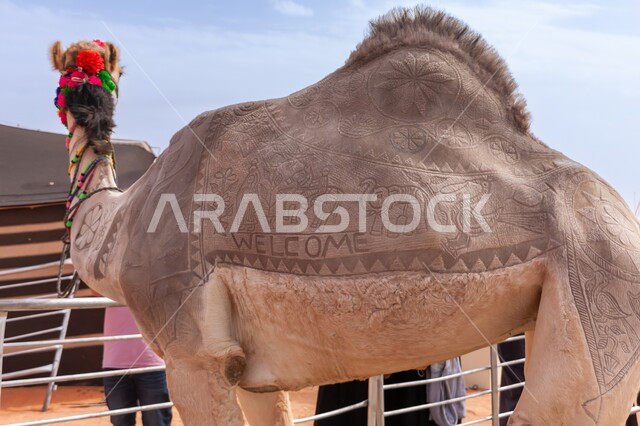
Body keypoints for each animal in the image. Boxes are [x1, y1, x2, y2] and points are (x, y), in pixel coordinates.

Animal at [49, 7, 640, 425]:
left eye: (85, 69)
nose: (86, 105)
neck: (118, 226)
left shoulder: (192, 351)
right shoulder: (250, 368)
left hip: (600, 296)